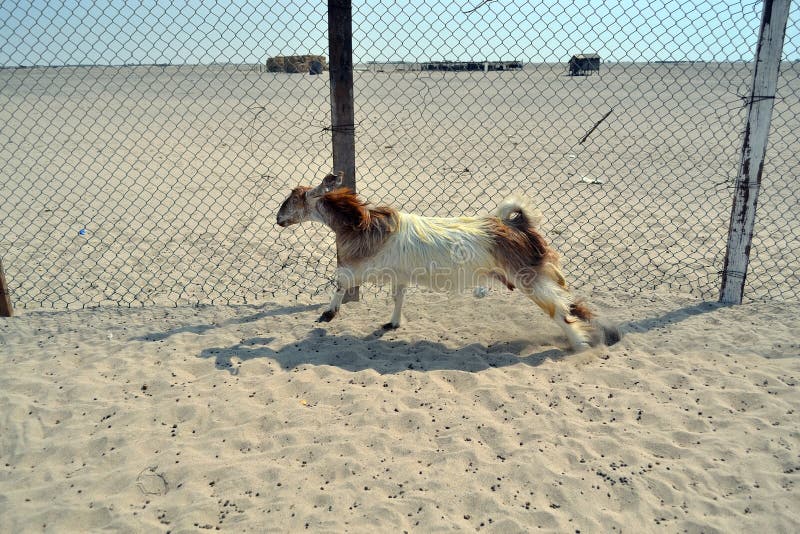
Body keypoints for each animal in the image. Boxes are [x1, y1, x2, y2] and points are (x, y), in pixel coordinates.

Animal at [276, 172, 620, 350]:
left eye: (292, 199)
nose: (278, 219)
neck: (362, 222)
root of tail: (518, 226)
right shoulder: (398, 273)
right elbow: (398, 295)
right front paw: (393, 323)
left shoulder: (363, 266)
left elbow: (341, 282)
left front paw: (328, 315)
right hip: (537, 275)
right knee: (573, 303)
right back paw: (606, 334)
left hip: (528, 278)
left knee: (560, 308)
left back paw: (579, 343)